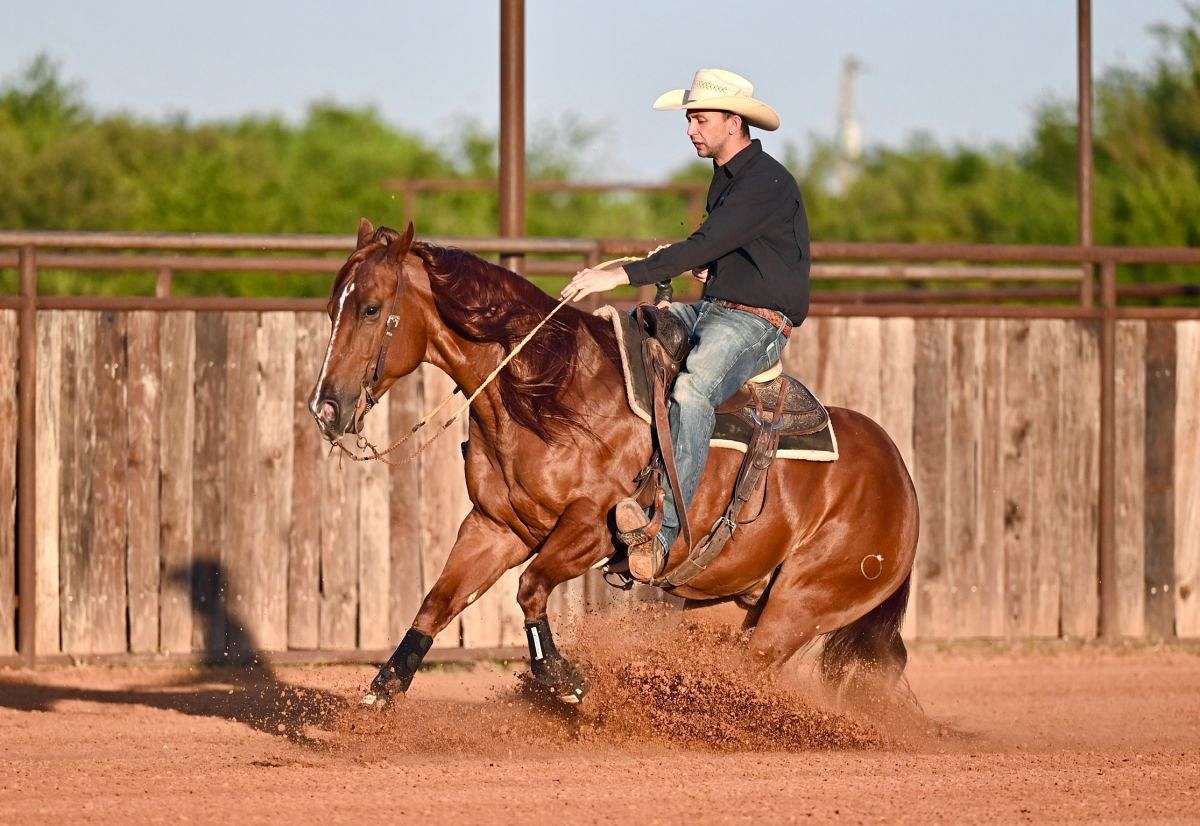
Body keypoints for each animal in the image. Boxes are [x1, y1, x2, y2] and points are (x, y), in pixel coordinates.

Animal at [309, 219, 919, 708]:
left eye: (370, 308)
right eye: (333, 305)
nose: (325, 407)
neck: (554, 389)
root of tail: (903, 484)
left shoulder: (593, 527)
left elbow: (530, 587)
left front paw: (561, 679)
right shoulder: (495, 526)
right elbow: (438, 602)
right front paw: (385, 687)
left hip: (800, 604)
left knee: (755, 667)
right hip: (726, 601)